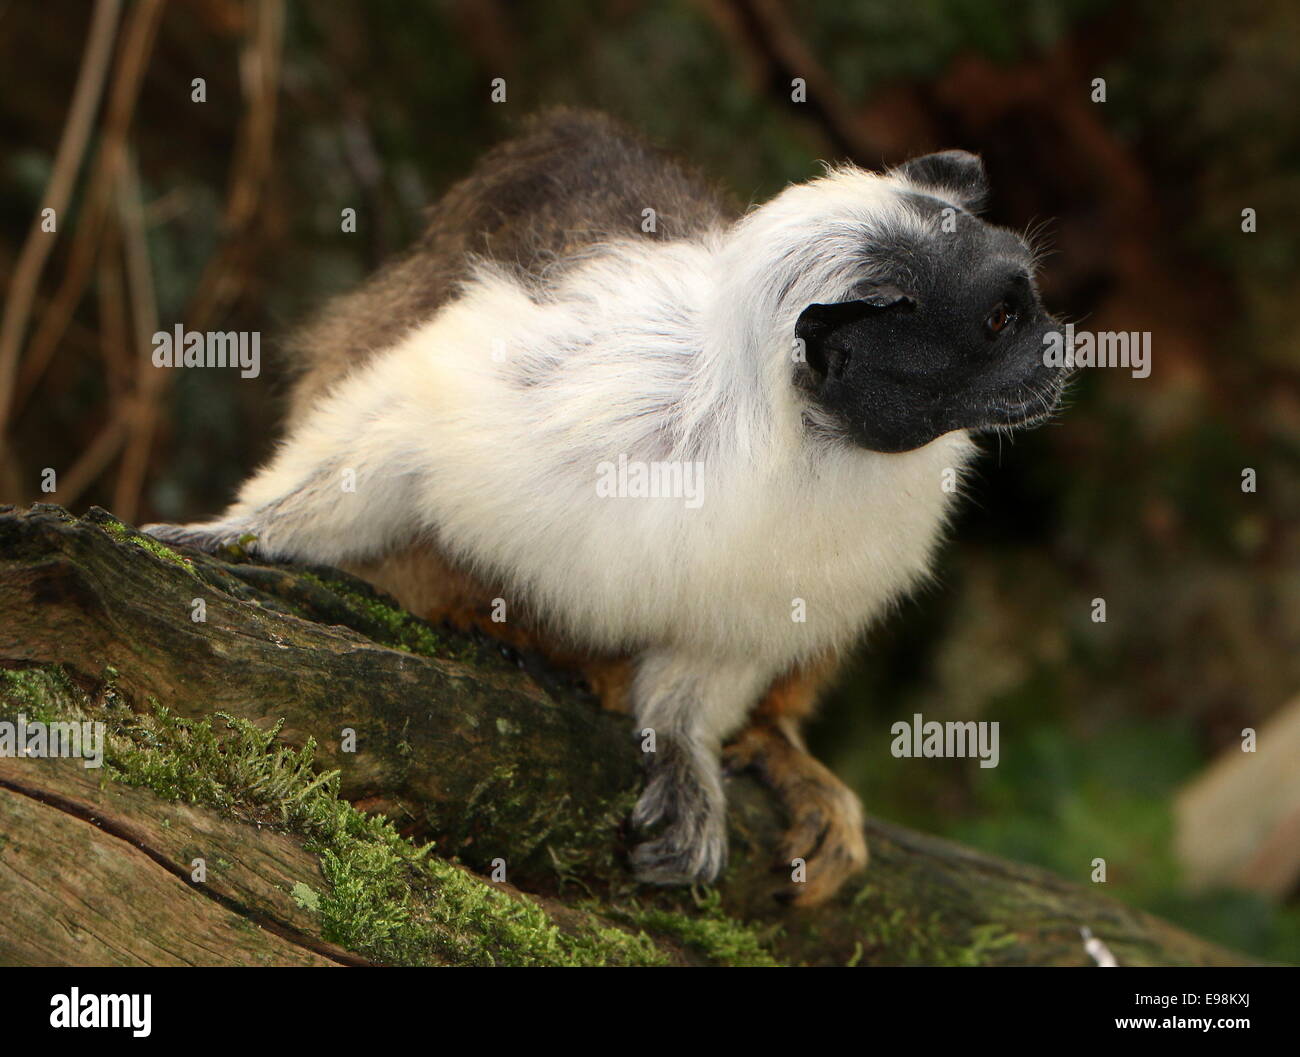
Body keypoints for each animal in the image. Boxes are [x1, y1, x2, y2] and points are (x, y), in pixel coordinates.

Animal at [144, 109, 1067, 906]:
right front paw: (238, 534)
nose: (1061, 348)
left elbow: (712, 663)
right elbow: (400, 427)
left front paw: (687, 751)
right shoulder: (551, 401)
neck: (789, 443)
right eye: (999, 319)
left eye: (1028, 303)